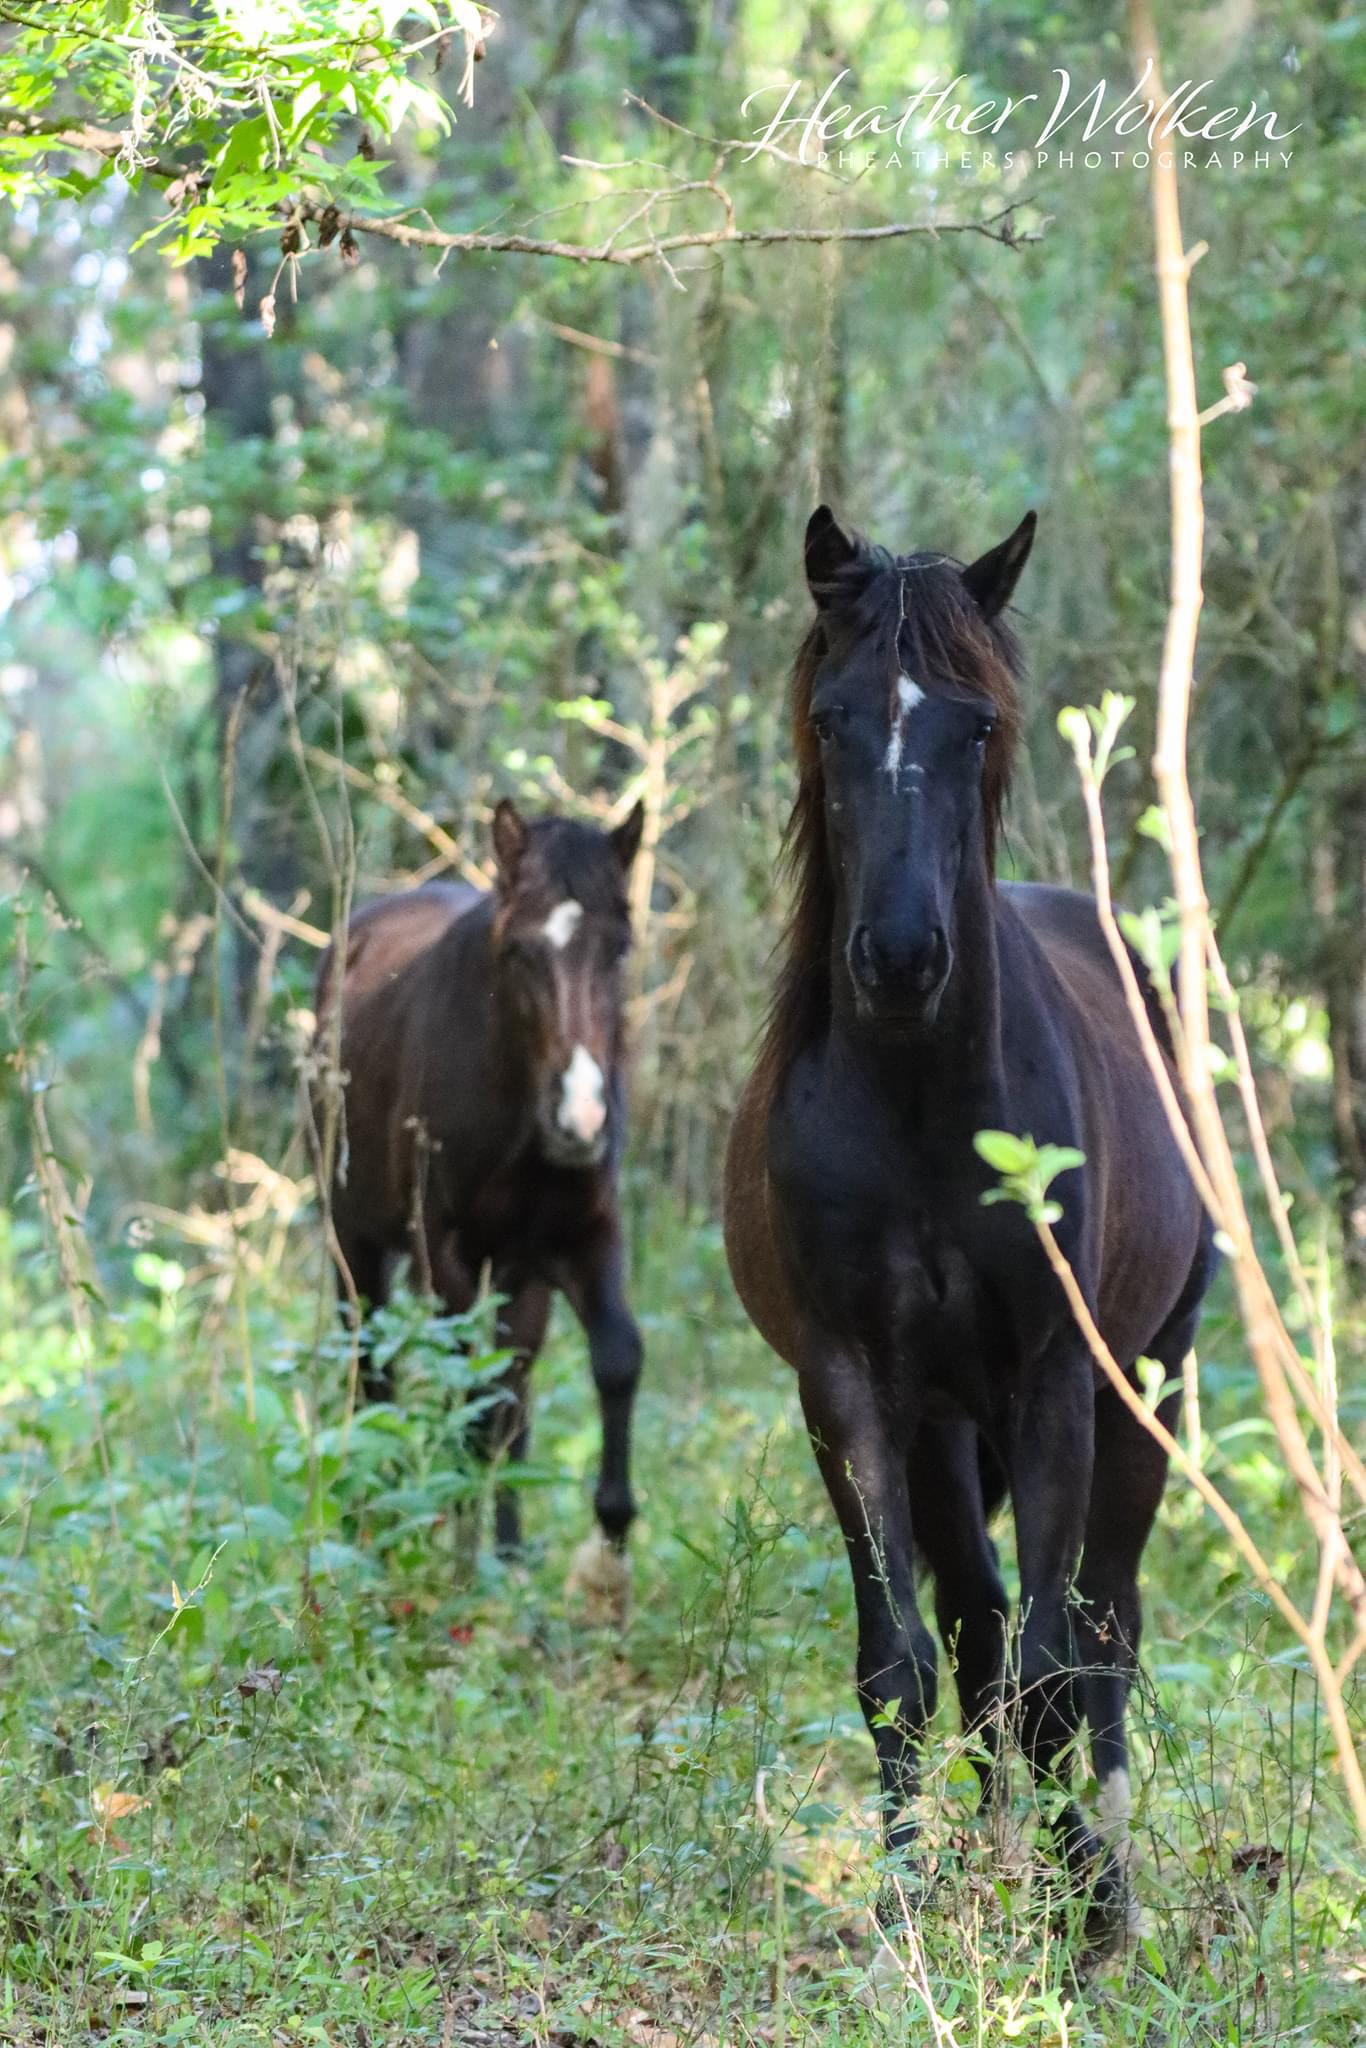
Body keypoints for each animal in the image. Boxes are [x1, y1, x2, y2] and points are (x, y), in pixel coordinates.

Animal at [315, 798, 646, 1611]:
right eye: (520, 953)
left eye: (619, 949)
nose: (580, 1119)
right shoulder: (450, 1257)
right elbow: (470, 1396)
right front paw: (468, 1565)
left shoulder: (585, 1238)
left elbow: (615, 1358)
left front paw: (605, 1558)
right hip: (355, 1243)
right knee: (375, 1371)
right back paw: (378, 1526)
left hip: (519, 1277)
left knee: (511, 1396)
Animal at [723, 507, 1215, 1935]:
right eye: (831, 716)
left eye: (977, 723)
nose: (898, 958)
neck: (922, 1115)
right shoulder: (850, 1387)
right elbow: (901, 1658)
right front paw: (906, 1898)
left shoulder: (1053, 1377)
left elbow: (1059, 1659)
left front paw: (1081, 1906)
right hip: (944, 1424)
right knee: (977, 1625)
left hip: (1148, 1377)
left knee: (1101, 1632)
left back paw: (1098, 1863)